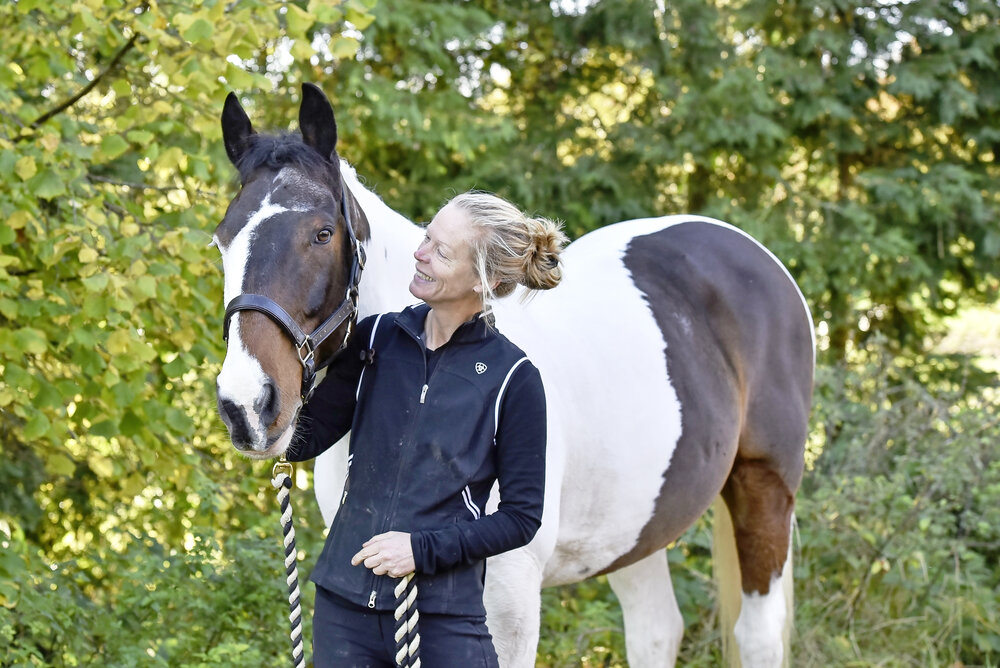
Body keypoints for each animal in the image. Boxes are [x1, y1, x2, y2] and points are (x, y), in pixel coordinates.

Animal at [213, 83, 814, 668]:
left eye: (320, 234)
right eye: (222, 238)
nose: (247, 405)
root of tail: (754, 259)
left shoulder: (510, 605)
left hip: (765, 492)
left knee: (757, 636)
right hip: (637, 528)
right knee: (656, 631)